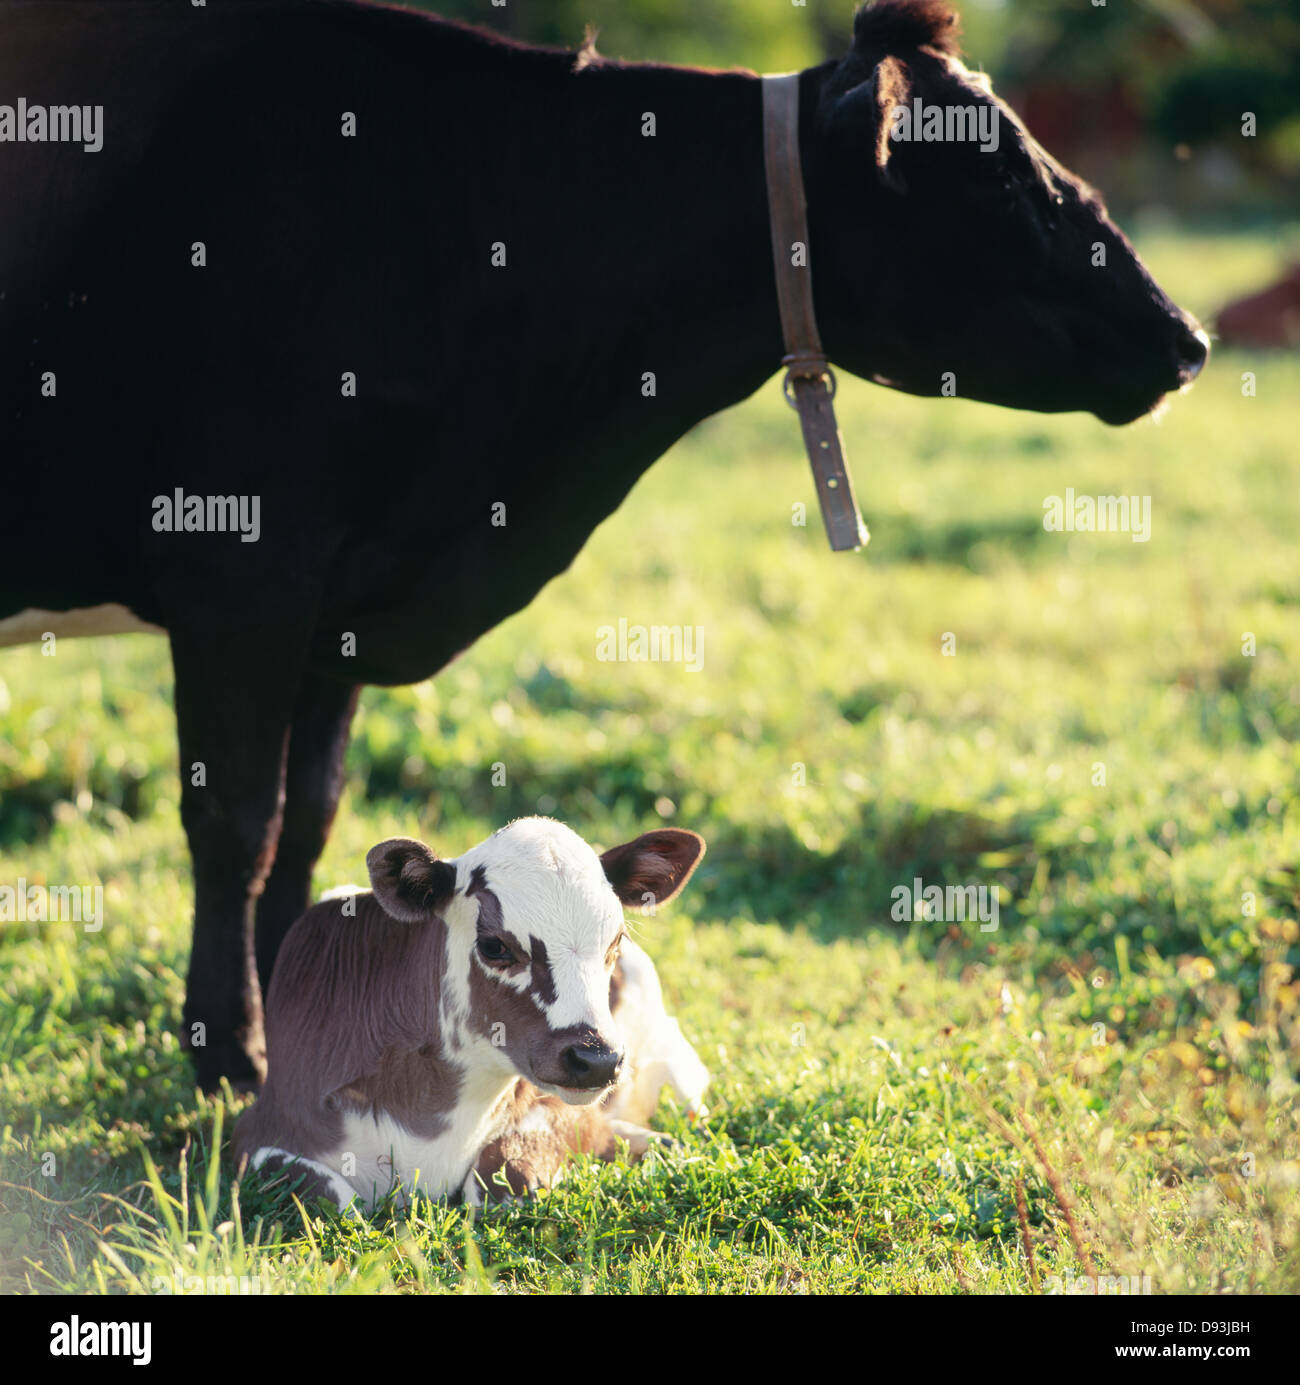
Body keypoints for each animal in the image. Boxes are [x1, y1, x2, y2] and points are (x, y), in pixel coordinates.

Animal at [0, 0, 1208, 1089]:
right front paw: (226, 1052)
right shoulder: (241, 564)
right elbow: (236, 819)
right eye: (997, 174)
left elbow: (311, 816)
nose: (1188, 337)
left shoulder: (342, 600)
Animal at [233, 818, 709, 1208]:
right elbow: (331, 1197)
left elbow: (503, 1175)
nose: (597, 1059)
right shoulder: (256, 1132)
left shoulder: (567, 1110)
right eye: (494, 946)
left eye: (616, 940)